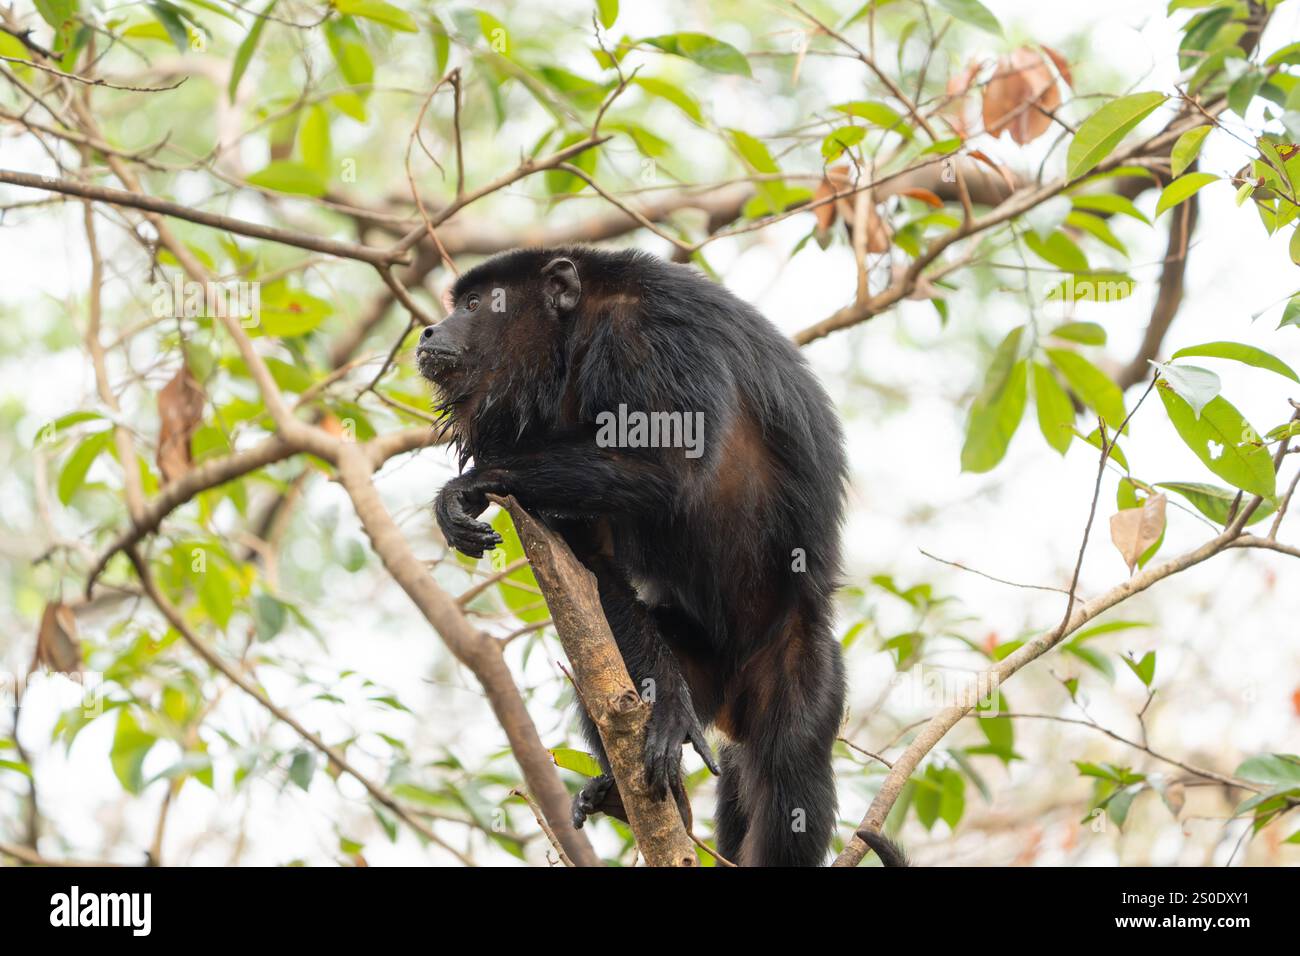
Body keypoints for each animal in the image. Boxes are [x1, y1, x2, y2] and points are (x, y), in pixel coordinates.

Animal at [417, 246, 847, 866]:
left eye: (474, 304)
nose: (430, 329)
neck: (574, 336)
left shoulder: (648, 335)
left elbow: (669, 469)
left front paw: (471, 484)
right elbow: (593, 564)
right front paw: (665, 706)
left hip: (804, 659)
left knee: (789, 768)